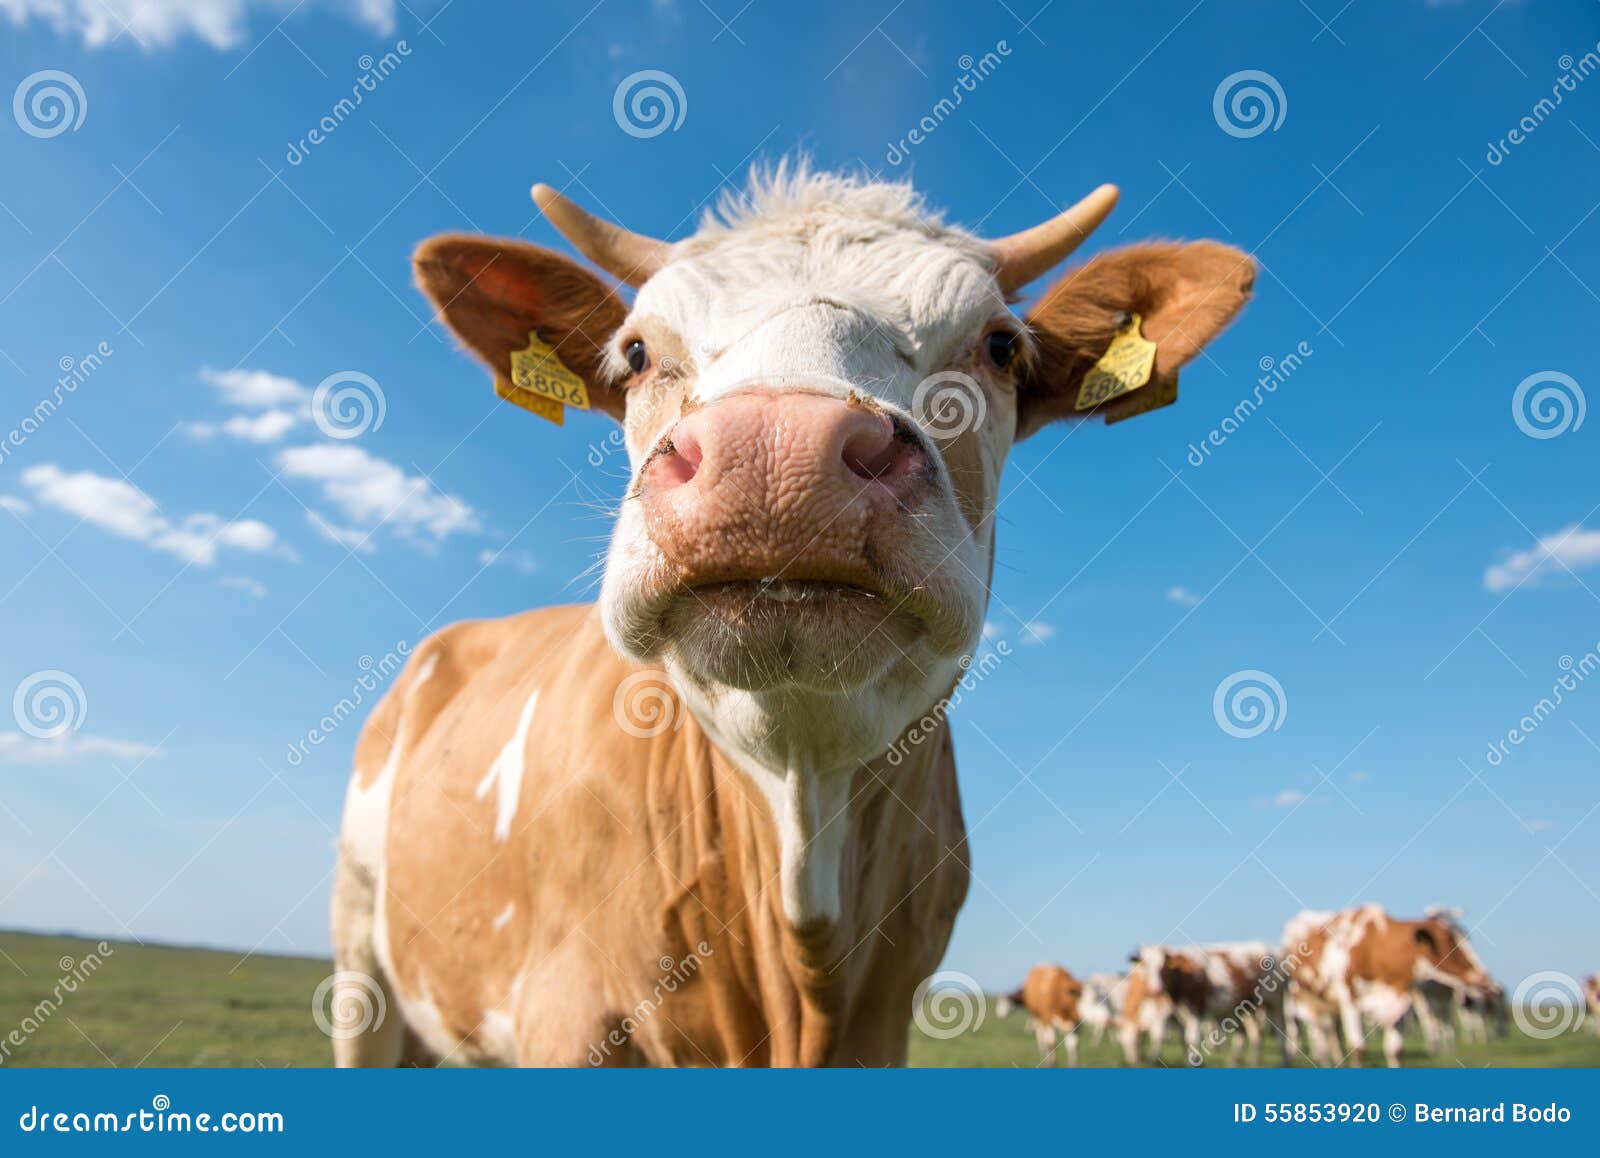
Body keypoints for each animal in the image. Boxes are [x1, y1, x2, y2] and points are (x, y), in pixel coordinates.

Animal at [330, 165, 1254, 1066]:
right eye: (636, 351)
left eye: (999, 346)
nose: (775, 453)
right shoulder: (567, 1014)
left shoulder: (884, 1023)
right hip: (362, 962)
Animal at [1119, 942, 1288, 1067]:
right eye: (1145, 966)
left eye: (1163, 967)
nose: (1155, 990)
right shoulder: (1181, 1014)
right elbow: (1185, 1038)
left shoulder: (1196, 1009)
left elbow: (1192, 1038)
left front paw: (1193, 1063)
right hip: (1248, 1007)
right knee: (1253, 1034)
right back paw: (1247, 1062)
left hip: (1275, 1003)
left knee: (1280, 1033)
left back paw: (1284, 1061)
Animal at [1282, 904, 1491, 1068]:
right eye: (1448, 941)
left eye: (1467, 937)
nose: (1483, 976)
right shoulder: (1350, 1001)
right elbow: (1359, 1050)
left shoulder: (1394, 1004)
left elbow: (1395, 1049)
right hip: (1306, 999)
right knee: (1320, 1040)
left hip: (1329, 1004)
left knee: (1332, 1034)